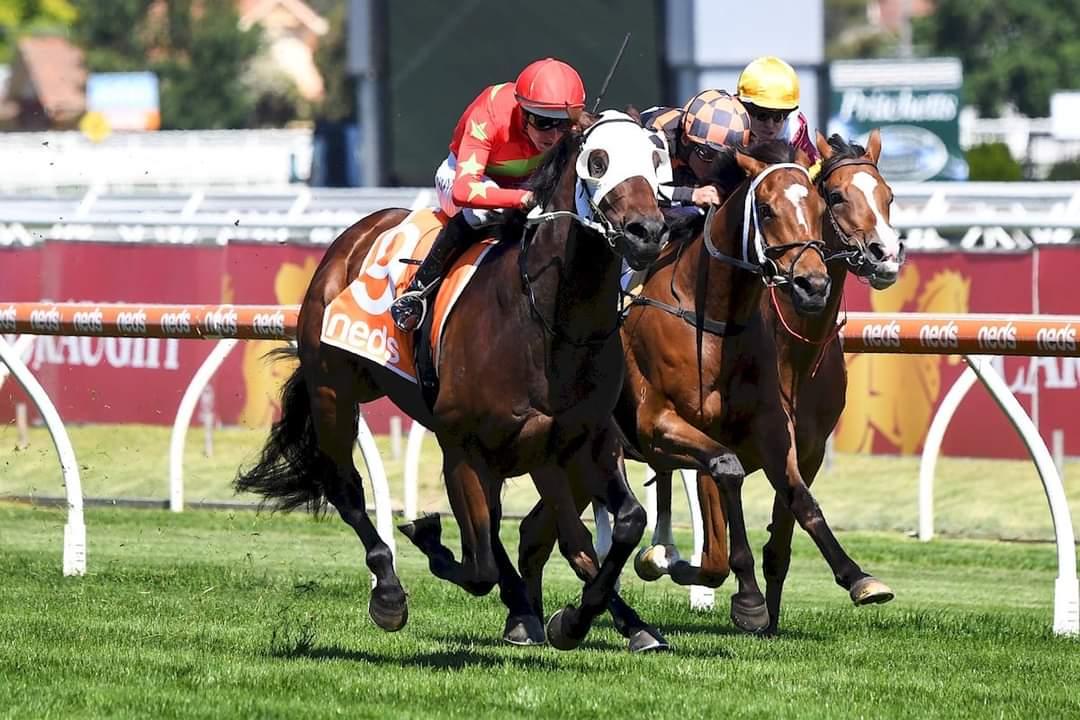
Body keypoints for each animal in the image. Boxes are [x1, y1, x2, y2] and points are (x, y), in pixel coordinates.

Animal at [235, 110, 670, 651]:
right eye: (598, 160)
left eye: (655, 157)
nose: (647, 231)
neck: (548, 322)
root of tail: (352, 237)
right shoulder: (461, 445)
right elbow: (479, 563)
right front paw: (427, 541)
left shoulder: (583, 439)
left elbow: (622, 524)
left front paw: (578, 620)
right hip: (334, 393)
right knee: (346, 487)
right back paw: (390, 592)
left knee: (548, 534)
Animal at [510, 138, 835, 637]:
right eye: (765, 209)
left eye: (820, 208)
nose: (813, 285)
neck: (712, 318)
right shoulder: (660, 427)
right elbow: (726, 479)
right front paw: (741, 596)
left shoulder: (771, 428)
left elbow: (801, 497)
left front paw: (859, 578)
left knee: (534, 534)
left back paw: (534, 621)